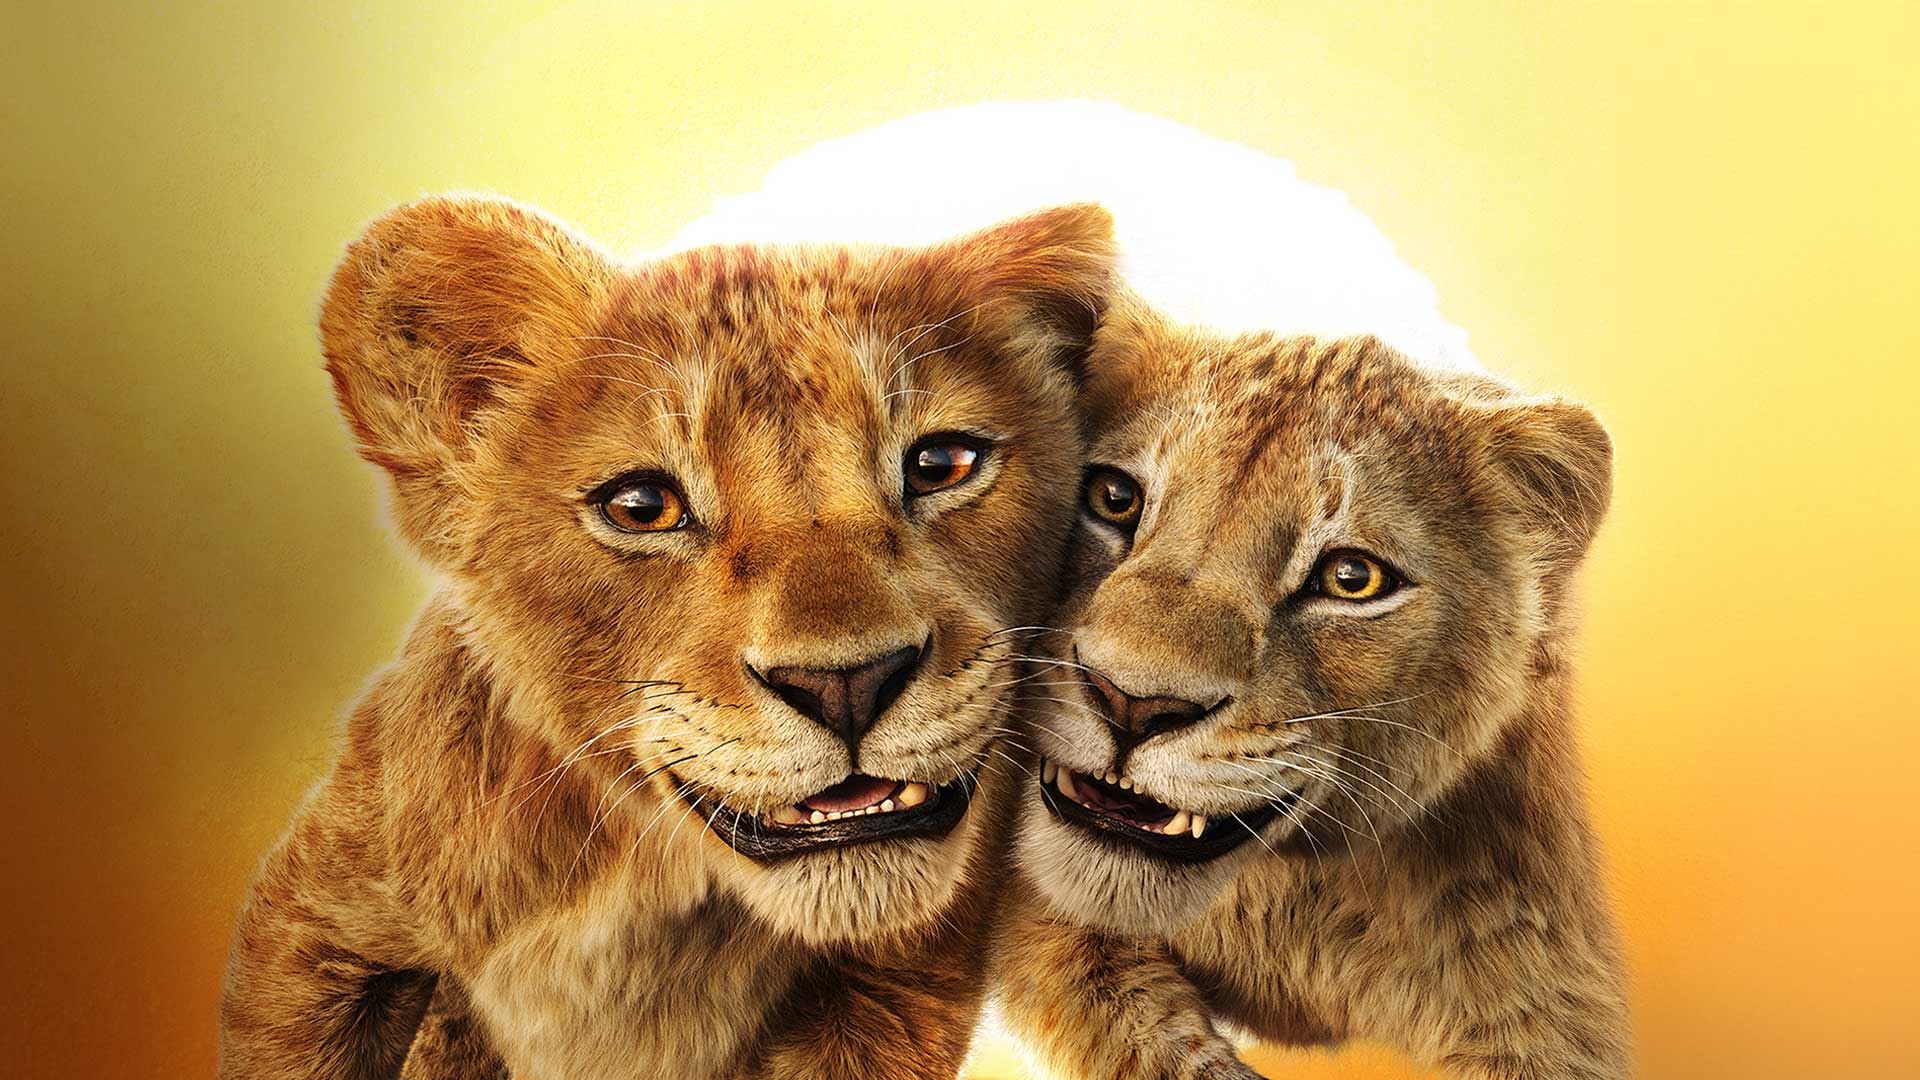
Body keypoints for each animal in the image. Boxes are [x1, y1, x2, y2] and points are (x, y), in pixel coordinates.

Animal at [218, 195, 1117, 1079]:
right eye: (642, 507)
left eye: (942, 464)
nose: (847, 684)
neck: (653, 908)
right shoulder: (316, 920)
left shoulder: (898, 982)